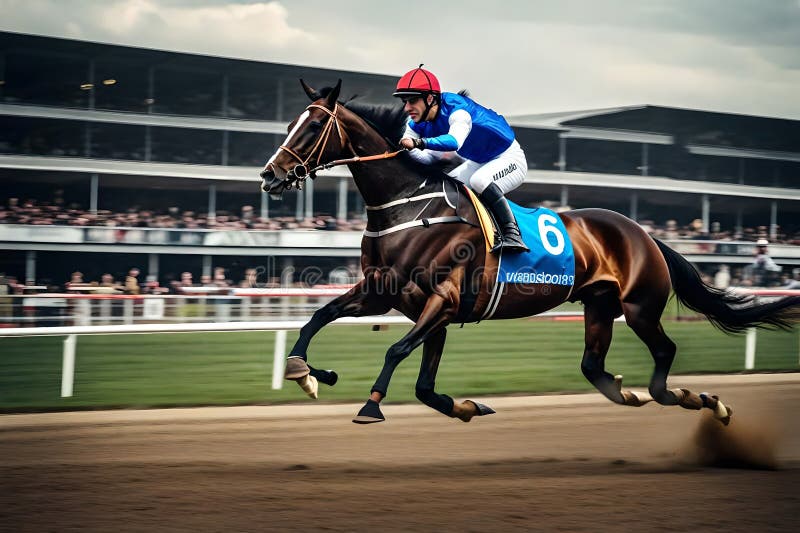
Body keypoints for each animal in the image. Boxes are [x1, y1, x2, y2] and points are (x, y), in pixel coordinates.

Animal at [260, 79, 800, 425]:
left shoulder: (443, 301)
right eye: (289, 124)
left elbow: (396, 351)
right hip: (599, 305)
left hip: (640, 305)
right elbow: (324, 319)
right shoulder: (386, 295)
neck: (408, 203)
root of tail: (645, 234)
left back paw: (691, 397)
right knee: (593, 366)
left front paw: (371, 404)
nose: (269, 175)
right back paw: (635, 392)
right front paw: (308, 372)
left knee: (663, 352)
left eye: (312, 128)